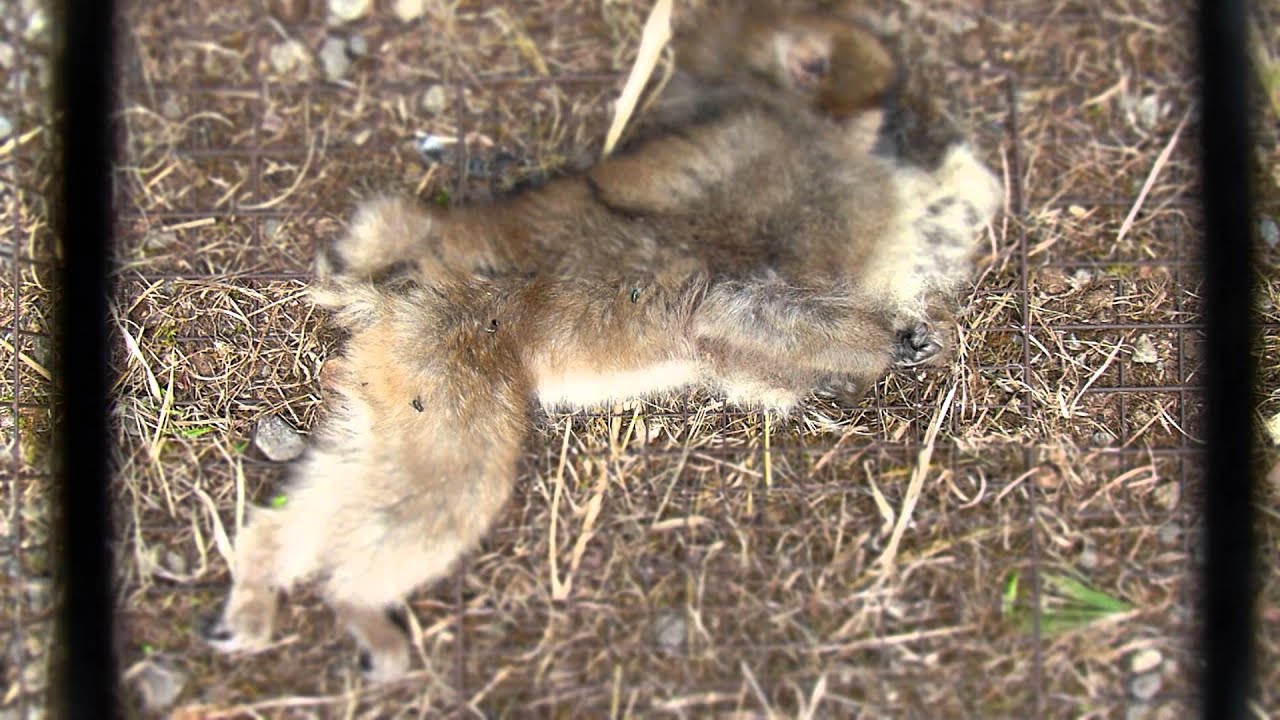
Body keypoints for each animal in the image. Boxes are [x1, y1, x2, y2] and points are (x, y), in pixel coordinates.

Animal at [201, 0, 1002, 682]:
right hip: (451, 367)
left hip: (400, 375)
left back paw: (259, 583)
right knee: (453, 485)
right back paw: (358, 609)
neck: (798, 122)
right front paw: (894, 344)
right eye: (890, 104)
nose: (924, 125)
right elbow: (737, 313)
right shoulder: (771, 250)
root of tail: (405, 279)